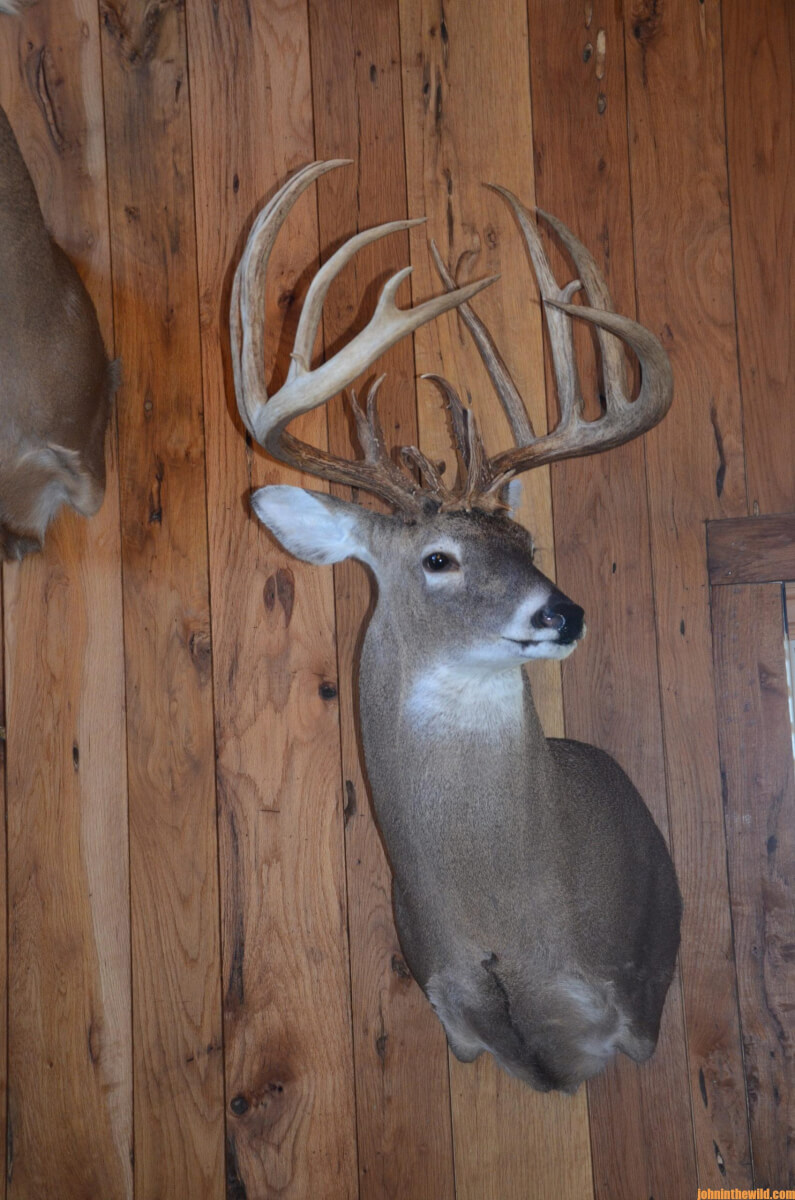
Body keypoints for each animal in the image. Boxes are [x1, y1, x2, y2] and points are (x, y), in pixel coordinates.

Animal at [230, 160, 681, 1093]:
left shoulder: (633, 994)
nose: (562, 610)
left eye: (527, 543)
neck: (507, 929)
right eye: (437, 558)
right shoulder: (458, 1016)